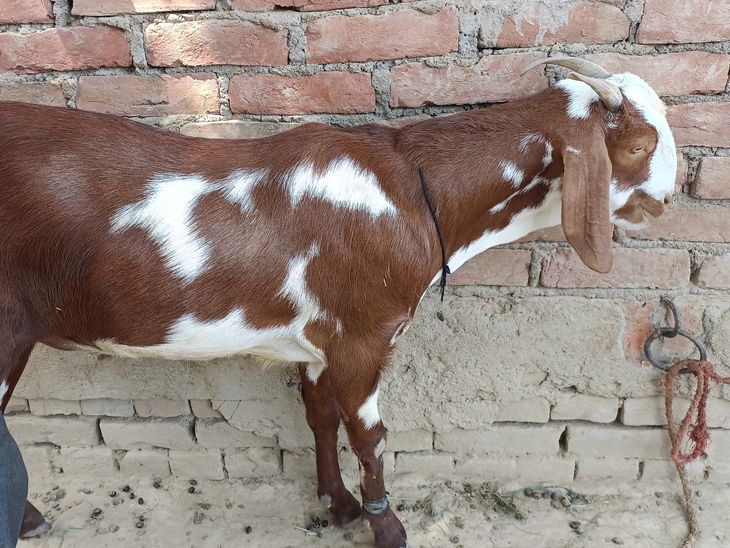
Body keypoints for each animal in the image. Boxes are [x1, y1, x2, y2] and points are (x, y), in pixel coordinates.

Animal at [0, 57, 676, 547]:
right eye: (639, 146)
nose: (668, 200)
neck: (411, 188)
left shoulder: (318, 338)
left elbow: (320, 416)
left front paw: (339, 504)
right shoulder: (365, 335)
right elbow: (369, 435)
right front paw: (387, 526)